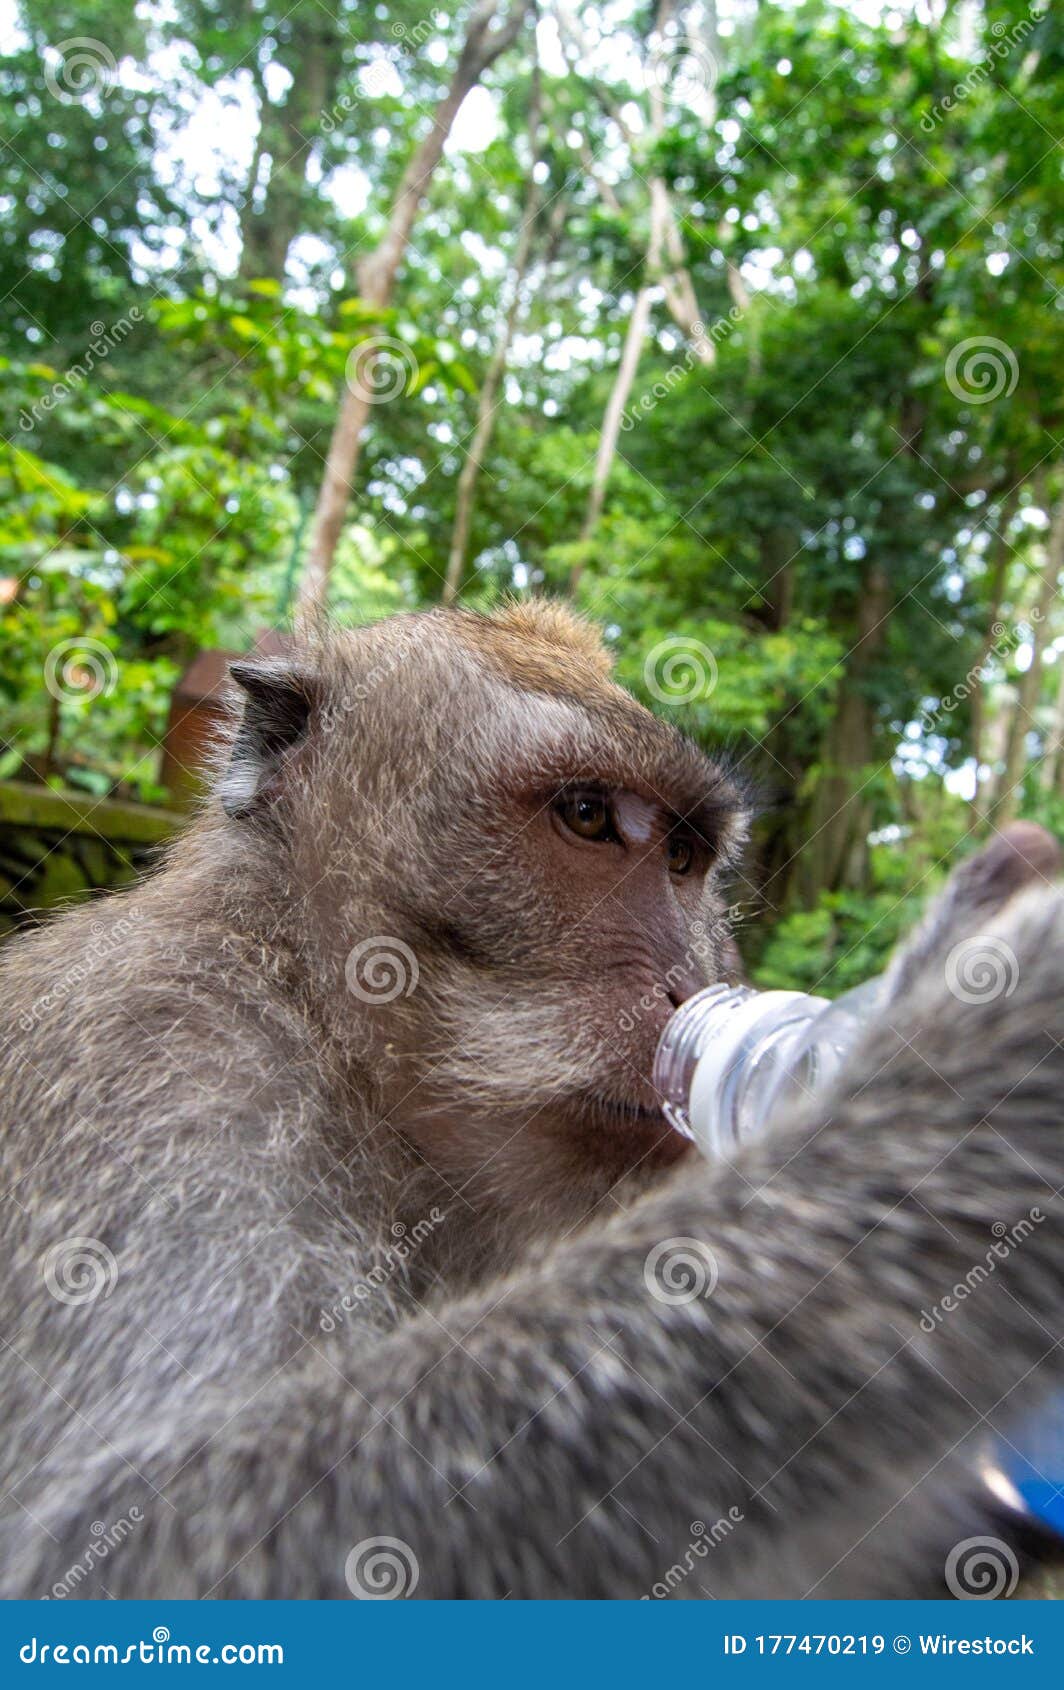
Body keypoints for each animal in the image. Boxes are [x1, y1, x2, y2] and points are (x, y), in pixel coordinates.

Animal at [0, 598, 1062, 1600]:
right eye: (588, 817)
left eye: (683, 857)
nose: (693, 983)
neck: (324, 1021)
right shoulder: (159, 1064)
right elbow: (118, 1538)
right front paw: (962, 1085)